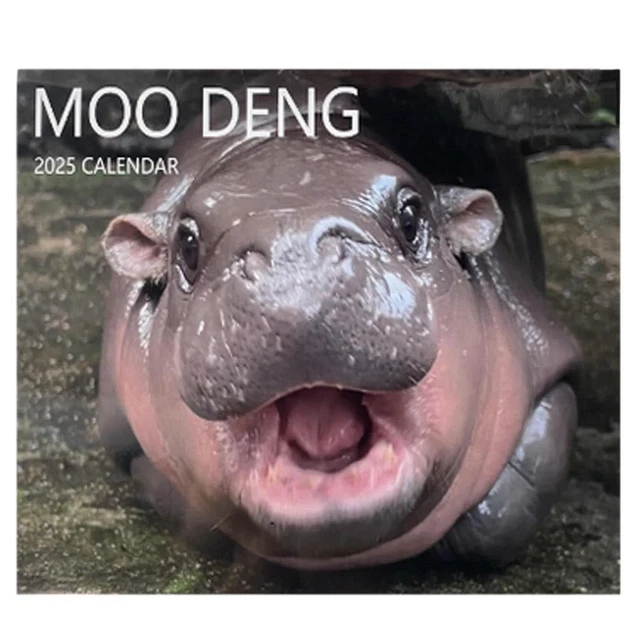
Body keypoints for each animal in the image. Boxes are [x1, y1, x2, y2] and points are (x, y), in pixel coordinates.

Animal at [98, 74, 581, 571]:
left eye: (411, 216)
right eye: (187, 245)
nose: (296, 266)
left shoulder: (549, 362)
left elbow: (505, 509)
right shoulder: (122, 431)